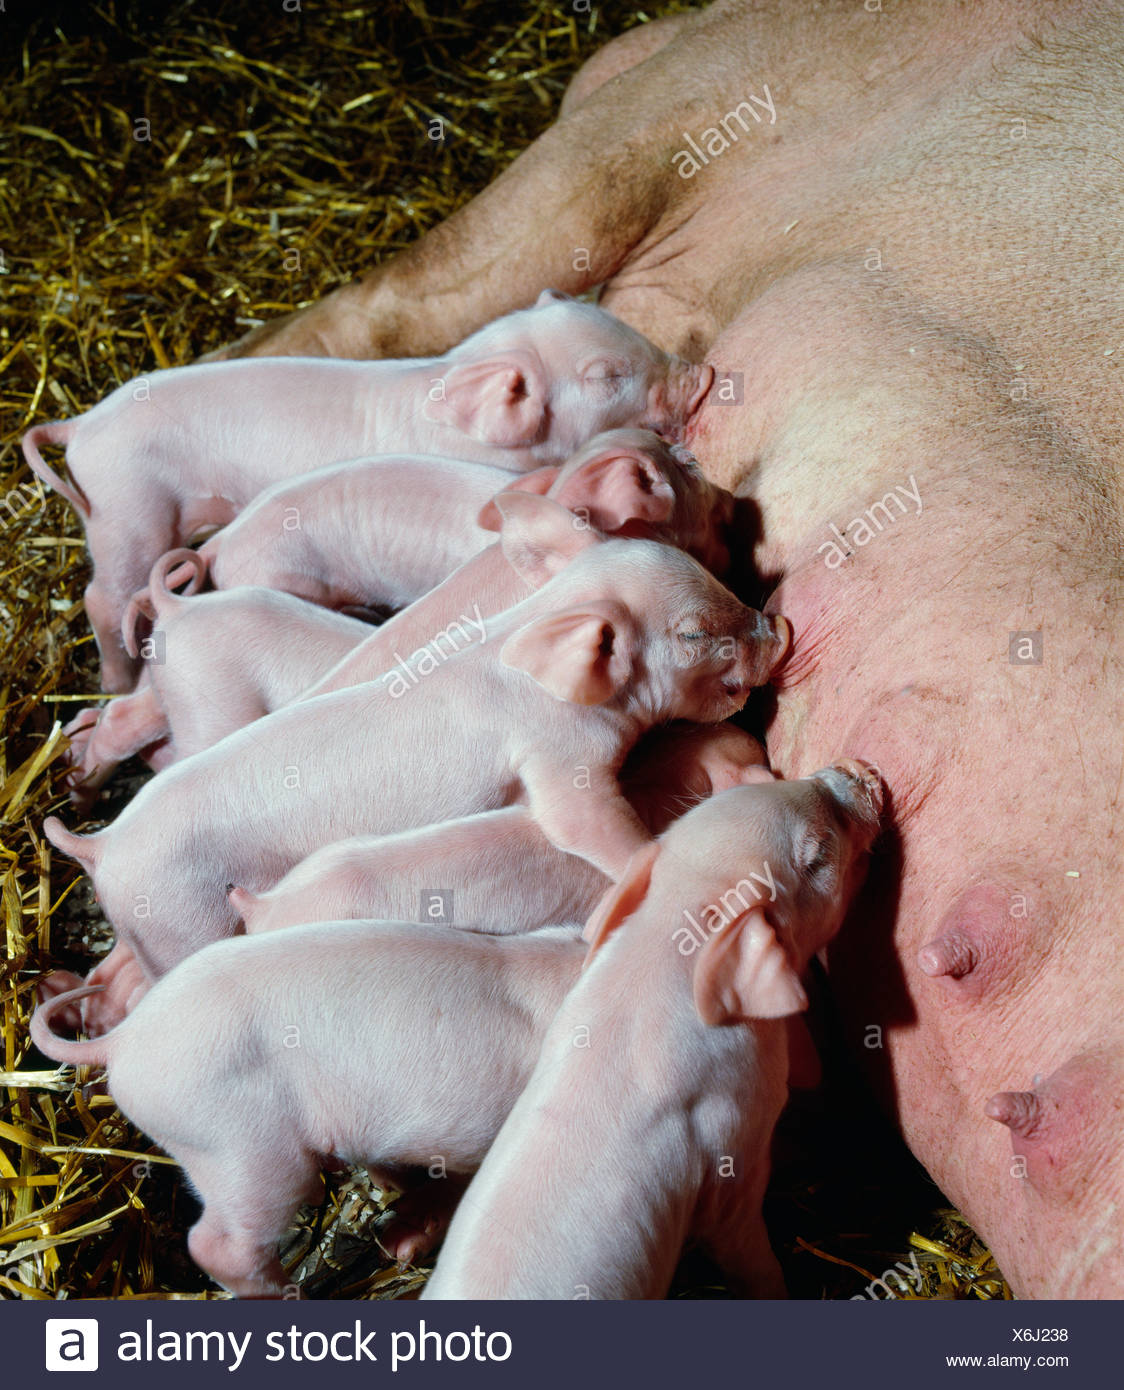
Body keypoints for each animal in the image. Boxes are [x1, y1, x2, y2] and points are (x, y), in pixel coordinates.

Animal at [22, 292, 712, 691]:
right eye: (605, 376)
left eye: (625, 327)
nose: (703, 374)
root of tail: (82, 425)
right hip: (126, 506)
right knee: (101, 597)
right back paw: (114, 684)